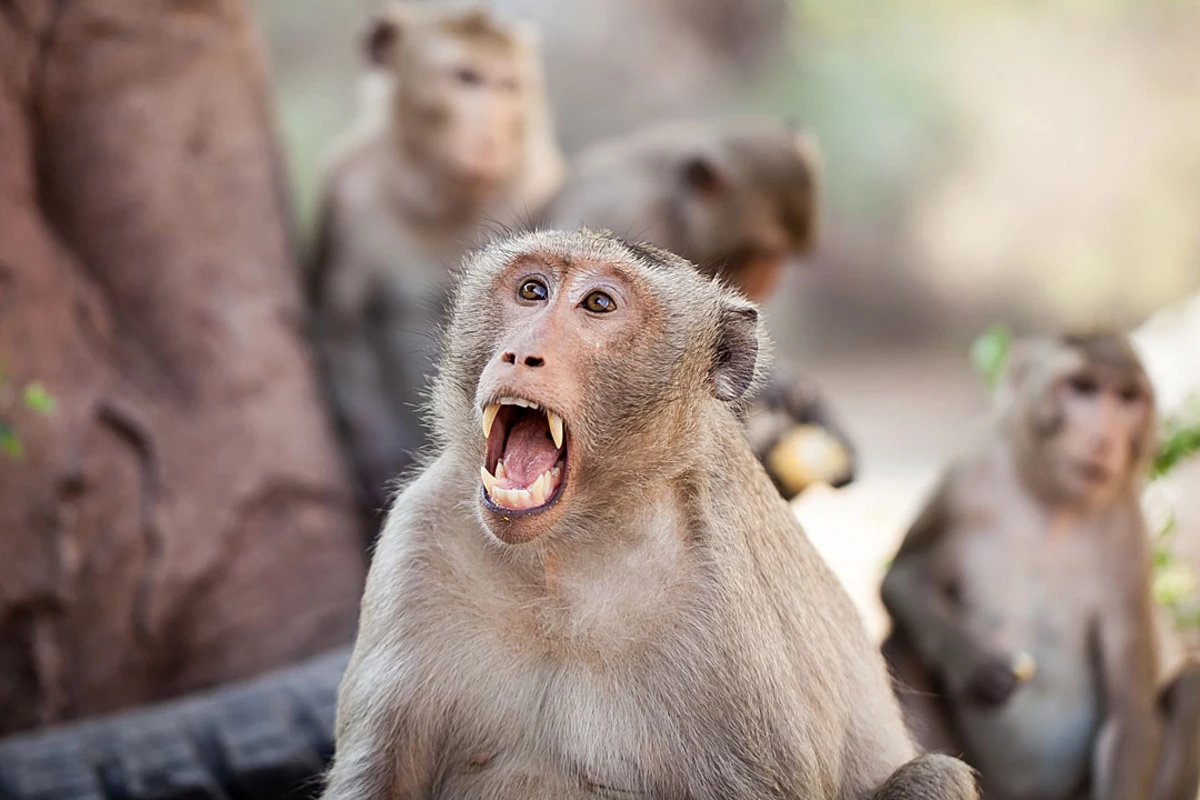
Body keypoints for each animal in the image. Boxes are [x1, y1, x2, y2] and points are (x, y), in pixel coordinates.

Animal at [307, 2, 566, 516]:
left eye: (509, 84)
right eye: (467, 77)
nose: (490, 139)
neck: (441, 200)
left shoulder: (536, 186)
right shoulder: (347, 195)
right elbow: (342, 328)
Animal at [319, 228, 978, 800]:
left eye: (598, 304)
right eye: (532, 290)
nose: (522, 352)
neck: (563, 556)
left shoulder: (725, 615)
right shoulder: (417, 538)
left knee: (936, 775)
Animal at [880, 331, 1200, 800]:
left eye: (1127, 397)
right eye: (1083, 387)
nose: (1104, 438)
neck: (1052, 503)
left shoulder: (1129, 533)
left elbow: (1128, 718)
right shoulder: (965, 475)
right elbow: (902, 577)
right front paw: (974, 665)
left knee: (1191, 686)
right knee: (901, 645)